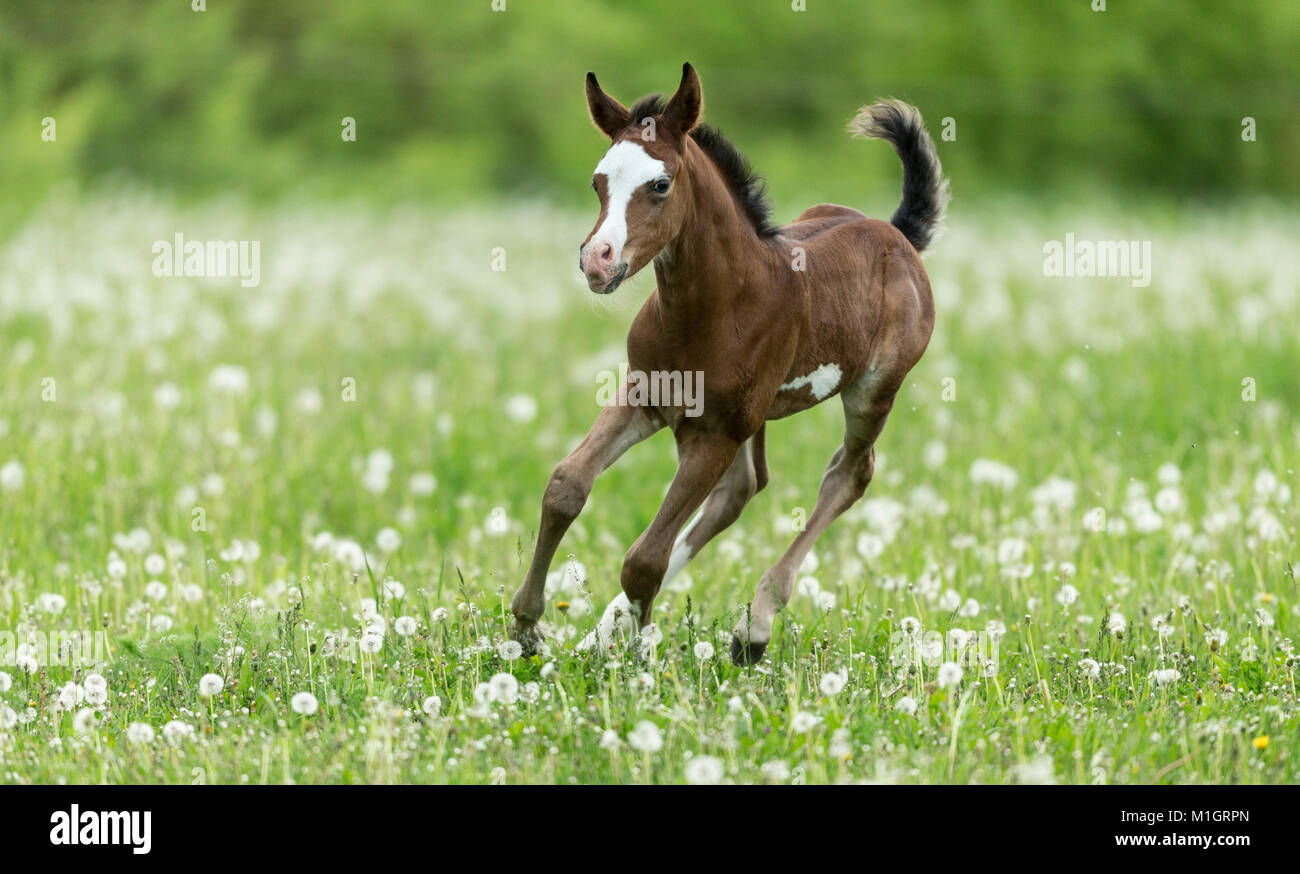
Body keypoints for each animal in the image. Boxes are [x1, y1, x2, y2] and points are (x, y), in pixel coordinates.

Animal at [510, 62, 948, 665]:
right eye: (597, 182)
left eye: (660, 184)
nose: (597, 261)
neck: (711, 308)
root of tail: (898, 234)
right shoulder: (645, 397)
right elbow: (565, 487)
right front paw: (528, 628)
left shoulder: (713, 433)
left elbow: (644, 557)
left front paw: (641, 657)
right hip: (753, 417)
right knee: (742, 488)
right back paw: (602, 632)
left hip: (870, 391)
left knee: (849, 474)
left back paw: (754, 627)